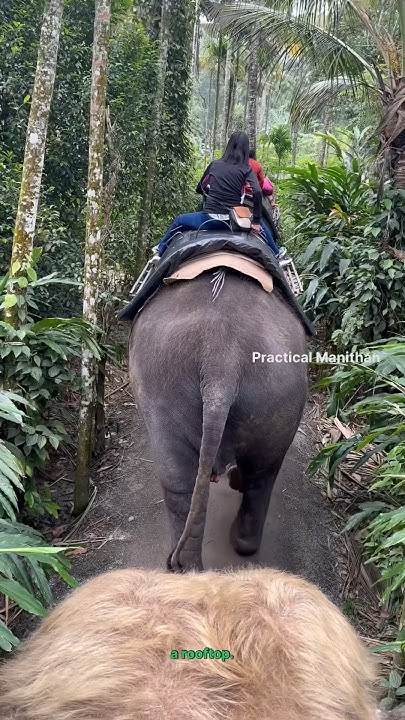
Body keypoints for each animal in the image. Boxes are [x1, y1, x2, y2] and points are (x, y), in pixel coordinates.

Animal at [127, 269, 308, 571]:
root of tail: (221, 360)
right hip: (277, 391)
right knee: (261, 471)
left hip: (164, 385)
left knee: (183, 481)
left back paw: (185, 565)